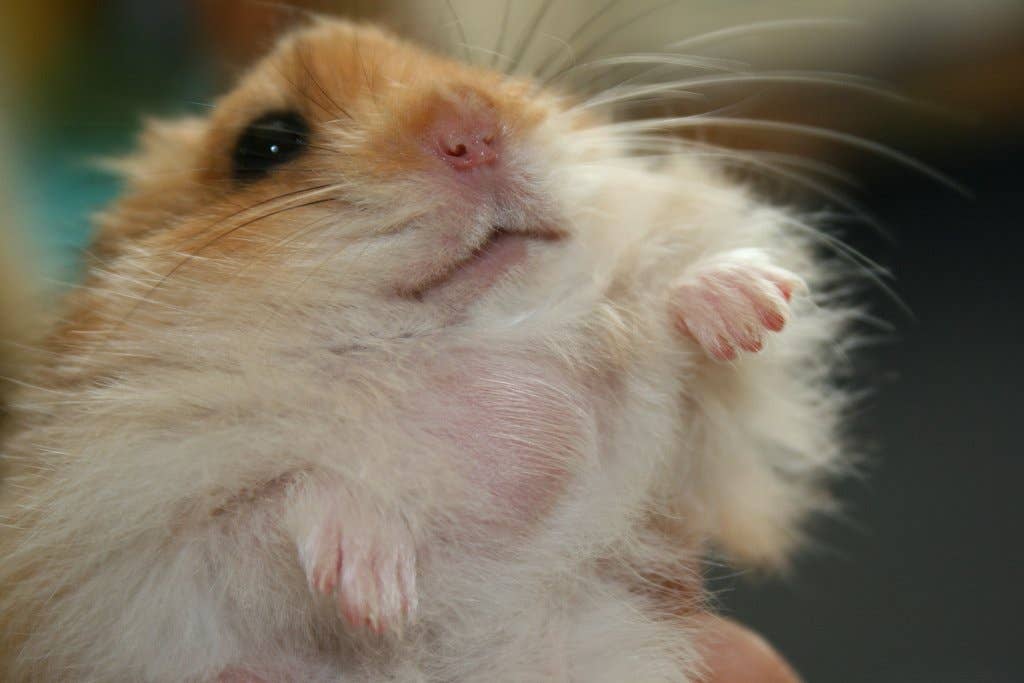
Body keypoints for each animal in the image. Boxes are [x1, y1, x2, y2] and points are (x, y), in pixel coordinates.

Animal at [0, 16, 853, 683]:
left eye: (464, 68)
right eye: (265, 144)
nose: (473, 127)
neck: (457, 338)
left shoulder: (664, 471)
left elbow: (672, 364)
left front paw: (751, 298)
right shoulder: (130, 564)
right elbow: (271, 503)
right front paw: (375, 588)